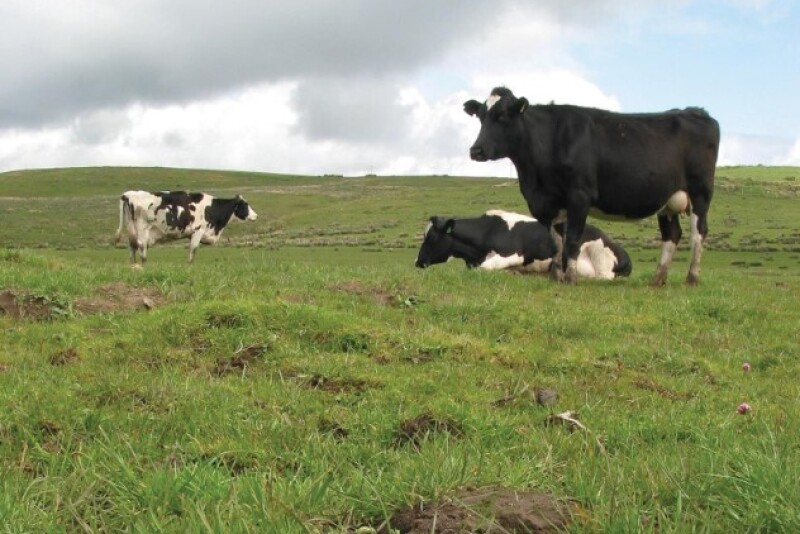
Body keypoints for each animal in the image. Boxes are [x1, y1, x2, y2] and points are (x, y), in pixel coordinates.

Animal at [114, 190, 257, 265]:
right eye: (245, 205)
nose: (255, 216)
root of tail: (128, 194)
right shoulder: (198, 230)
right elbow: (193, 249)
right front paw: (190, 265)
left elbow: (190, 249)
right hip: (143, 229)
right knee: (141, 246)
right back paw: (144, 264)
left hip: (131, 229)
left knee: (132, 247)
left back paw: (133, 264)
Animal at [415, 209, 631, 279]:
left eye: (431, 238)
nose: (417, 262)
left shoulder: (513, 254)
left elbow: (483, 268)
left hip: (598, 253)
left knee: (604, 277)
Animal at [463, 87, 720, 286]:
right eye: (480, 117)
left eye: (502, 116)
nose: (476, 150)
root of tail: (696, 111)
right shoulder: (552, 203)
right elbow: (556, 243)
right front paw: (556, 277)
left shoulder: (579, 196)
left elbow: (573, 240)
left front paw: (570, 278)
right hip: (668, 201)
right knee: (672, 235)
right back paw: (657, 280)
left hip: (700, 193)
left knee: (699, 232)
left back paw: (692, 278)